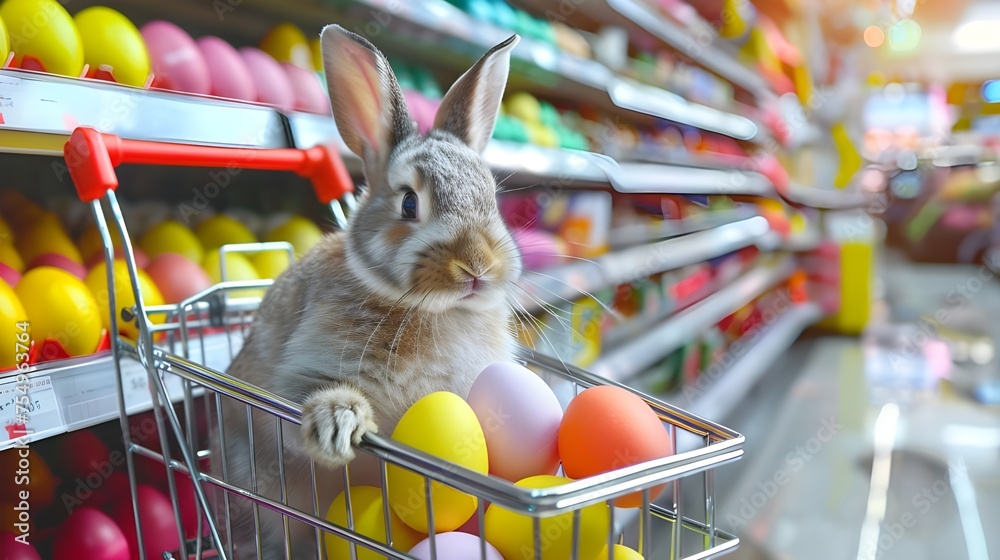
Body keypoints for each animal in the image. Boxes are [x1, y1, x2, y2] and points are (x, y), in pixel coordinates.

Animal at [210, 24, 523, 559]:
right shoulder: (298, 374)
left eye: (493, 198)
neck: (434, 311)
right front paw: (338, 424)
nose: (477, 268)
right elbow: (304, 405)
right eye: (410, 203)